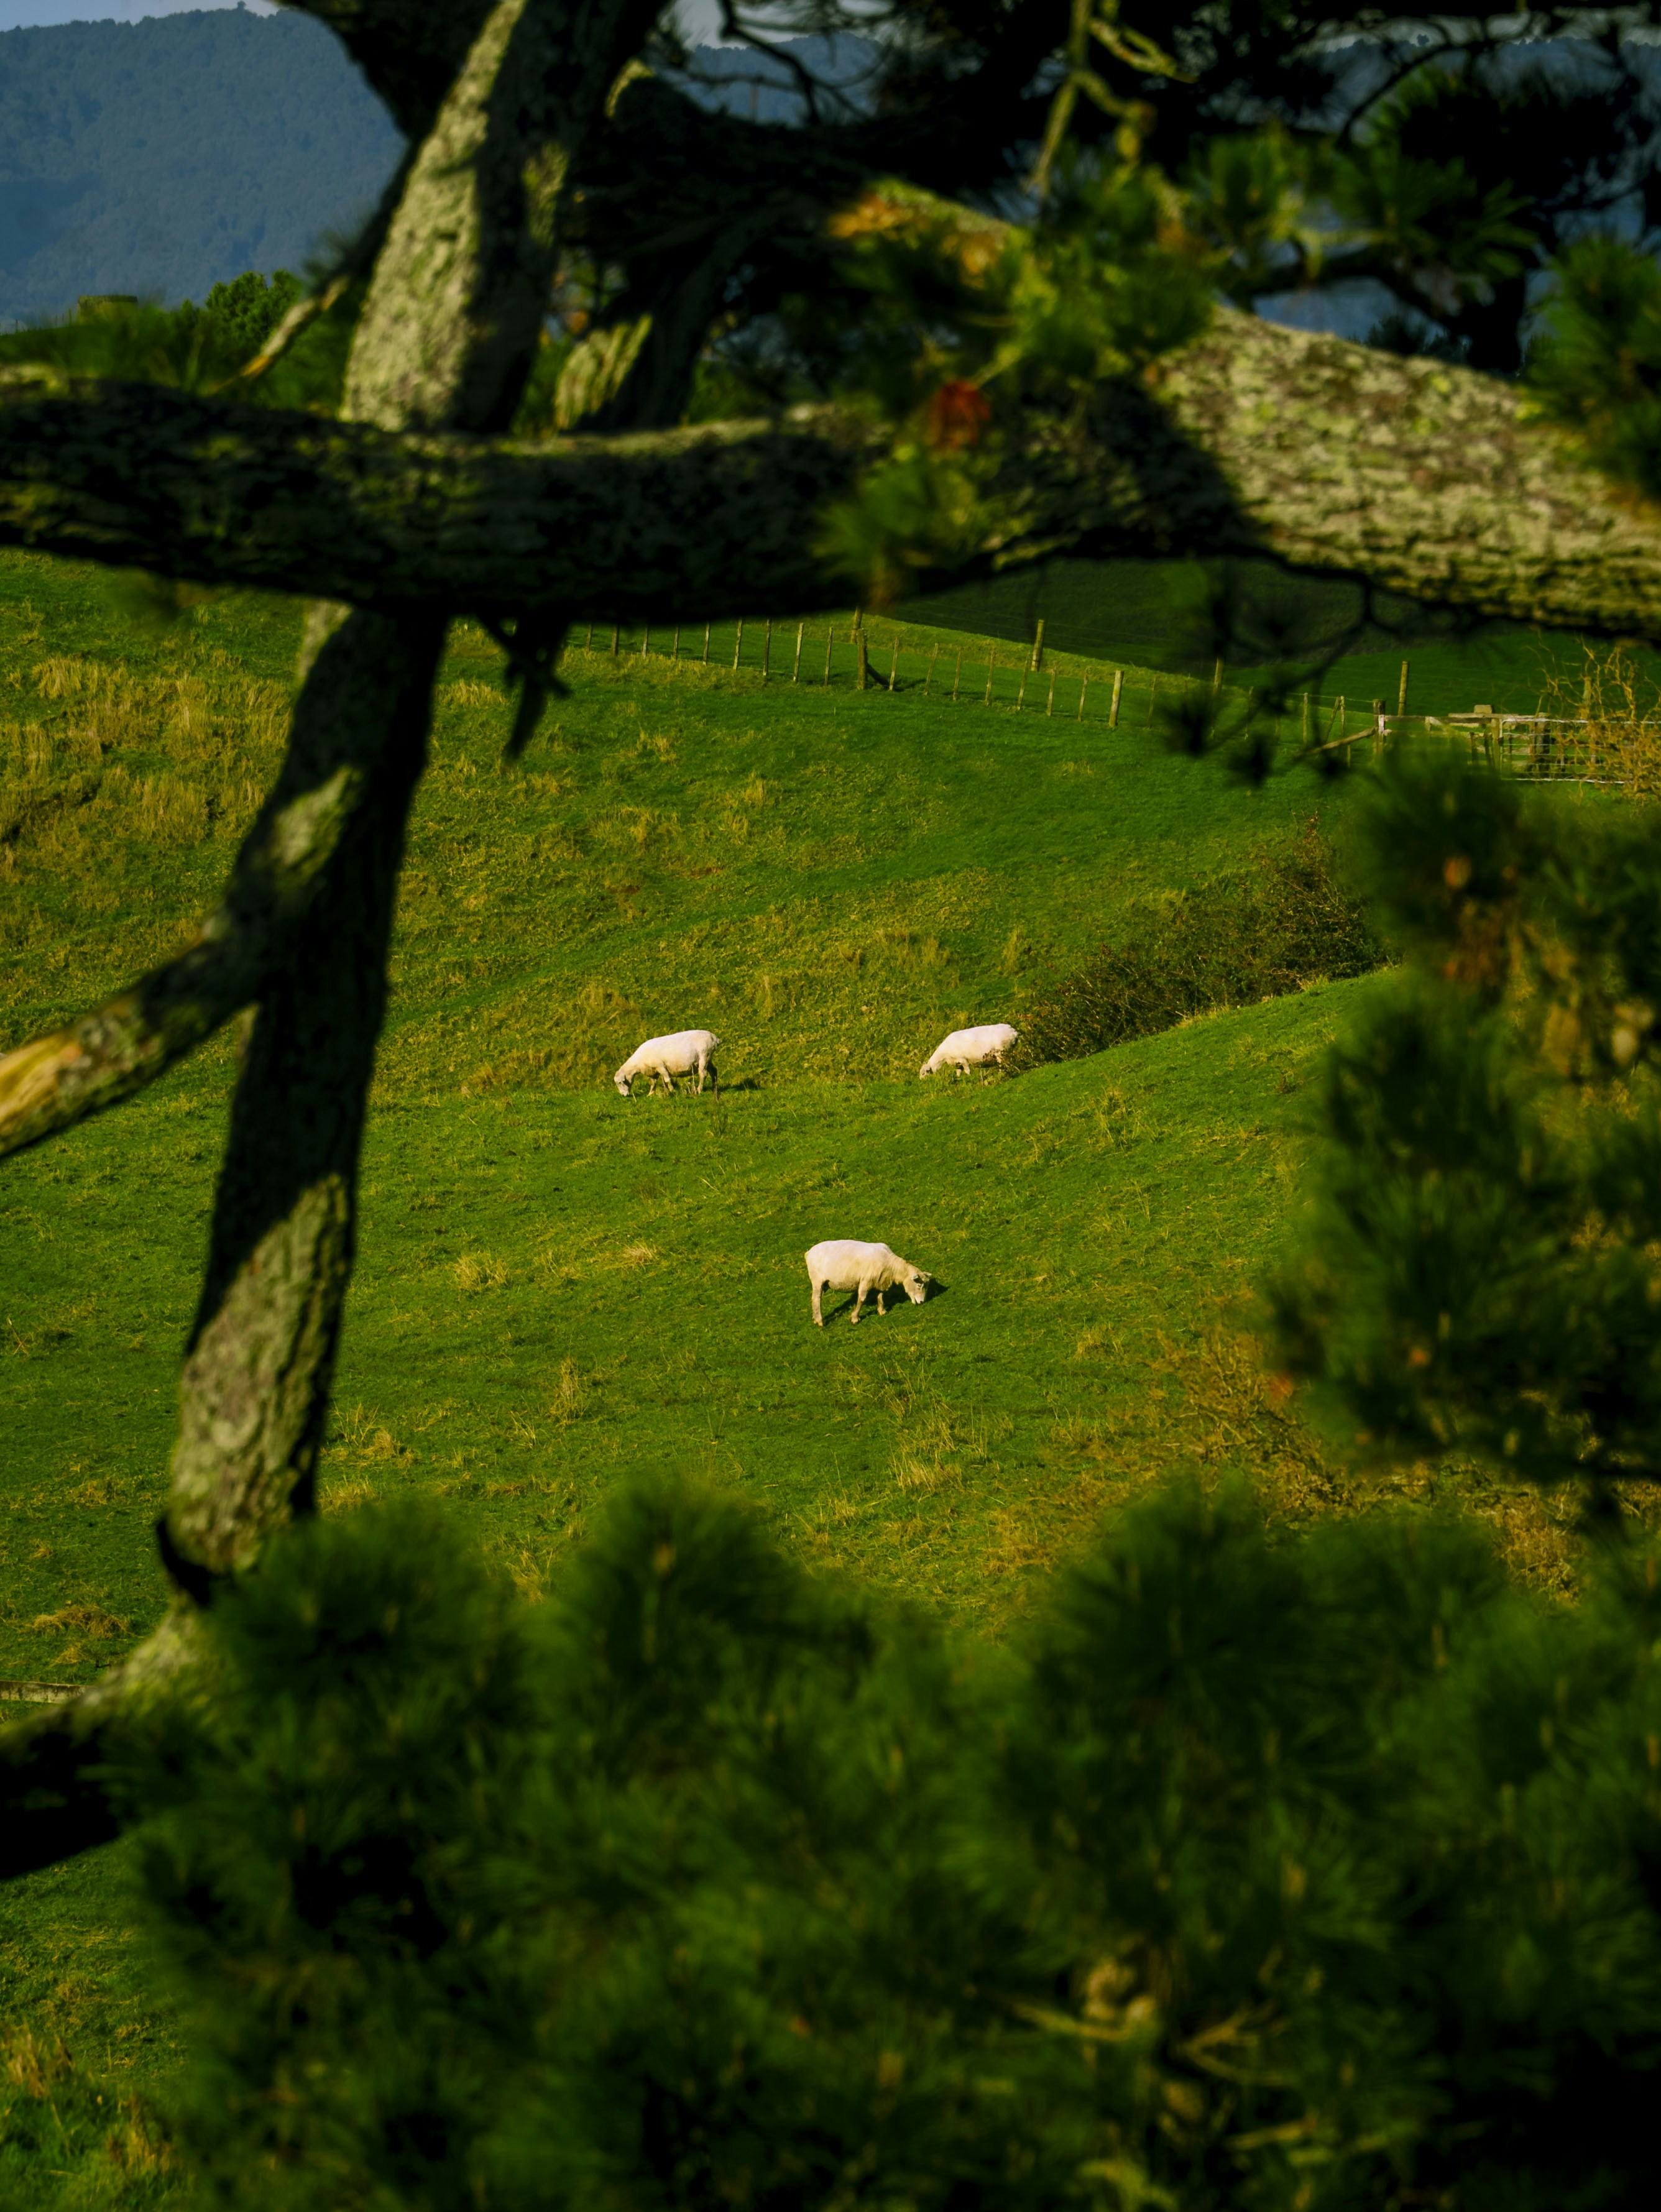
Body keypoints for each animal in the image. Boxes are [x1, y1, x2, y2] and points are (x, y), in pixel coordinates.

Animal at [613, 1029, 722, 1098]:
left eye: (620, 1083)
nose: (623, 1095)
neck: (638, 1062)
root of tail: (714, 1038)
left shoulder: (661, 1066)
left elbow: (667, 1080)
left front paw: (673, 1091)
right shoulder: (654, 1070)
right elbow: (654, 1083)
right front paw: (650, 1094)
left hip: (704, 1056)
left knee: (703, 1074)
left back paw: (699, 1090)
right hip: (709, 1059)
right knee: (714, 1071)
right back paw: (715, 1088)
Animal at [805, 1239, 933, 1327]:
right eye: (919, 1285)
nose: (922, 1302)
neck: (891, 1267)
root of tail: (809, 1253)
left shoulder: (880, 1281)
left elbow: (881, 1296)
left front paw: (882, 1311)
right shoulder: (866, 1281)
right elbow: (862, 1299)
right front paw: (855, 1318)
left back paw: (815, 1318)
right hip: (817, 1280)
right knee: (816, 1299)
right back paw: (820, 1321)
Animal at [919, 1022, 1018, 1082]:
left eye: (923, 1073)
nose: (921, 1081)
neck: (944, 1055)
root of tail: (1013, 1031)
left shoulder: (963, 1060)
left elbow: (967, 1071)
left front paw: (970, 1078)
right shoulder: (957, 1063)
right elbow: (958, 1073)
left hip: (1001, 1052)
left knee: (1003, 1064)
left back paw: (1001, 1074)